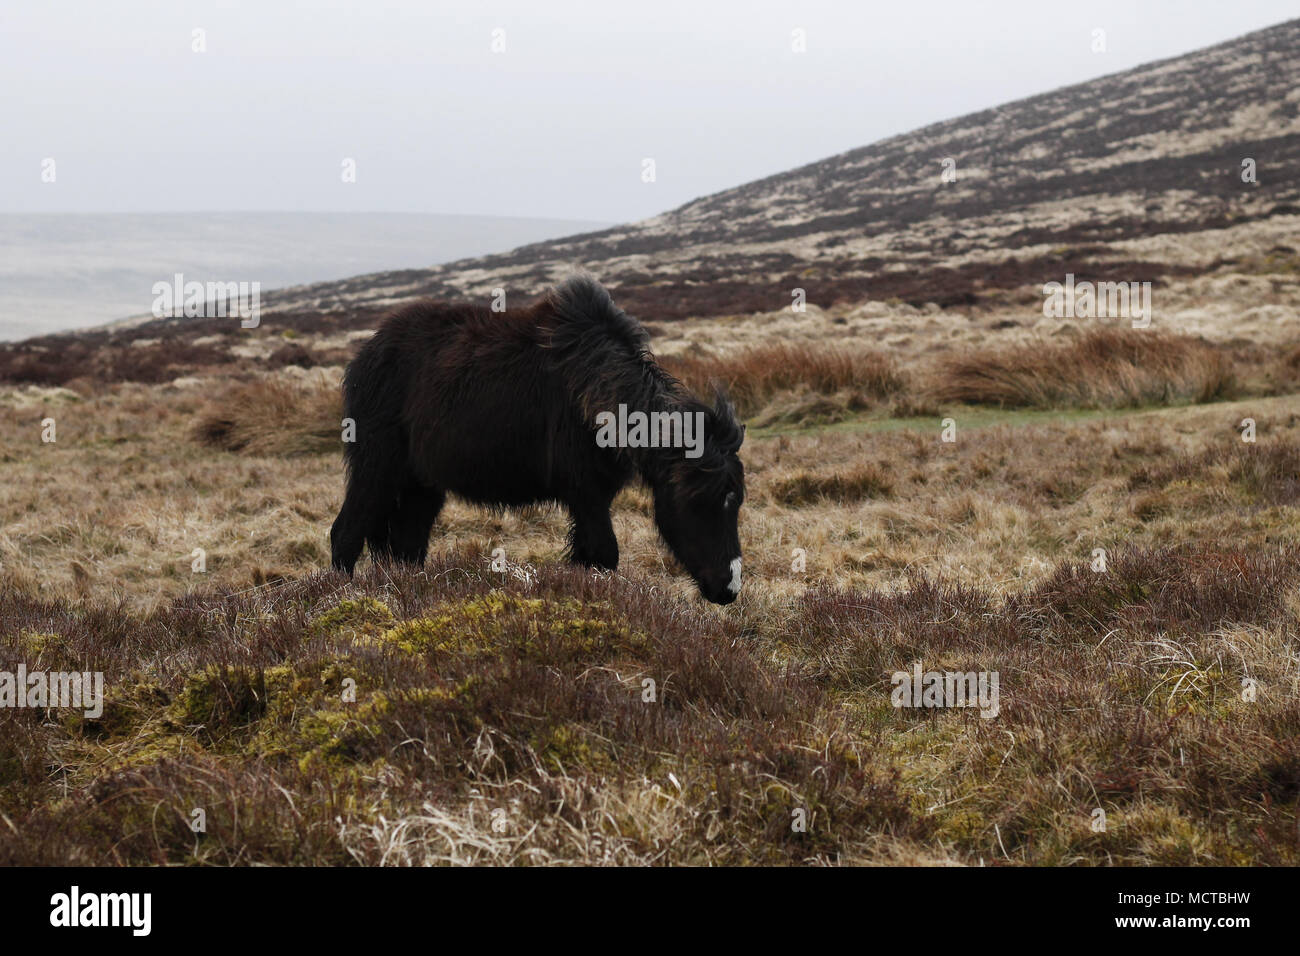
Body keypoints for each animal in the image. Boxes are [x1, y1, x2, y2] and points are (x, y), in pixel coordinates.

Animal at [329, 276, 746, 604]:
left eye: (735, 501)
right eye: (698, 502)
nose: (728, 590)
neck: (594, 387)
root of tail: (366, 356)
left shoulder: (593, 498)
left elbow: (589, 558)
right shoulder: (585, 493)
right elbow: (604, 554)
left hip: (422, 486)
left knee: (406, 546)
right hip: (377, 468)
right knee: (346, 532)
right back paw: (340, 600)